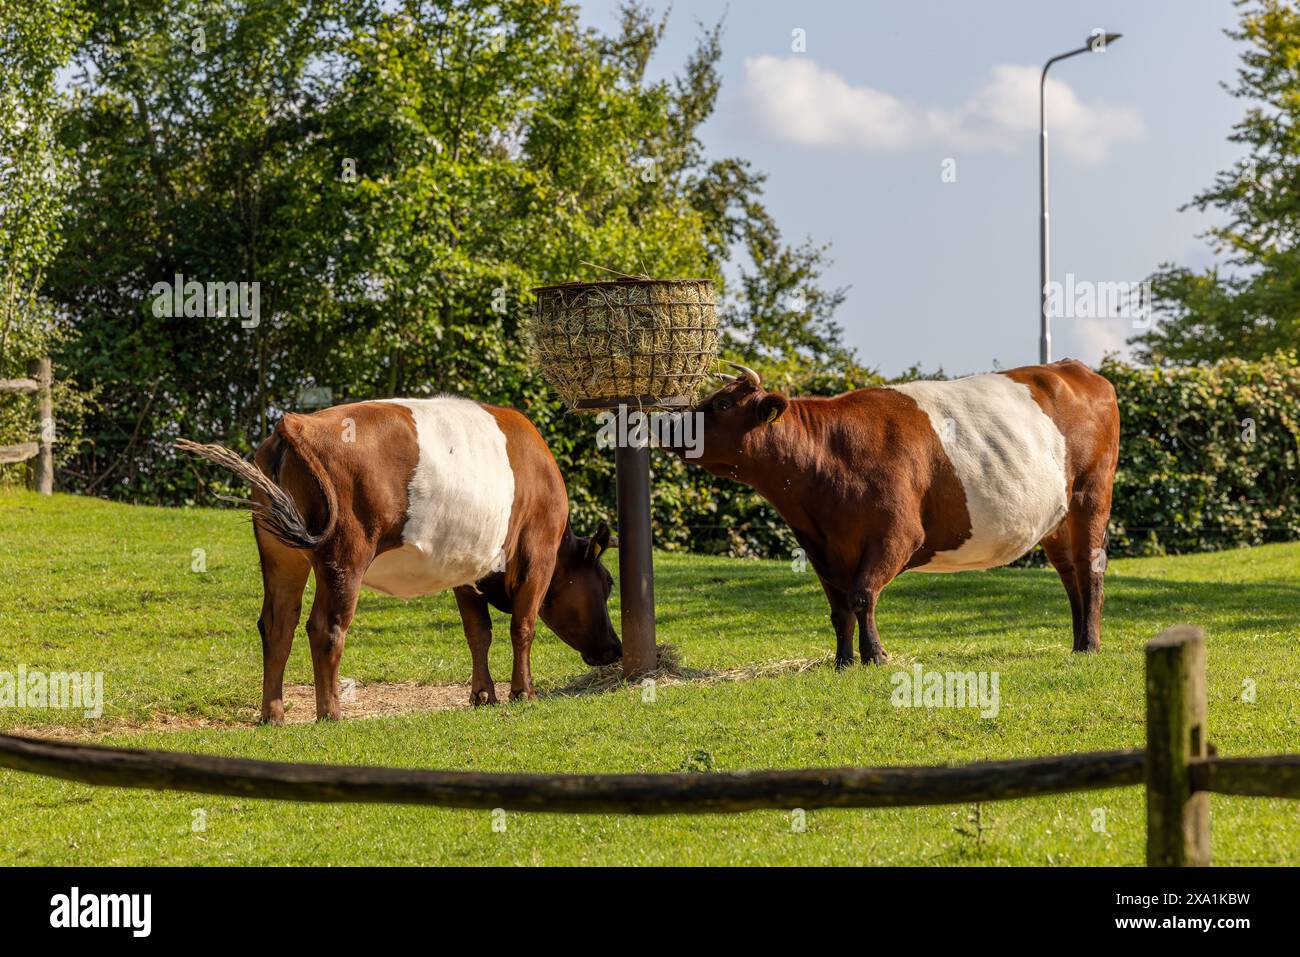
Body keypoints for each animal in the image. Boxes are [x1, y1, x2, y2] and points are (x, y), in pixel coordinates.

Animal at [178, 396, 622, 722]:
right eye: (608, 583)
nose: (615, 648)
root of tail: (297, 424)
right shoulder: (537, 554)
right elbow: (523, 627)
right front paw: (523, 692)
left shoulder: (466, 567)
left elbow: (478, 632)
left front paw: (483, 695)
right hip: (345, 554)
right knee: (325, 628)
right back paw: (330, 713)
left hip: (282, 553)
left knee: (277, 624)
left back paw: (273, 715)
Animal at [676, 359, 1120, 666]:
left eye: (723, 402)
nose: (670, 427)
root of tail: (1075, 369)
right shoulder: (819, 548)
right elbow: (839, 610)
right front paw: (843, 662)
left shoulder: (897, 535)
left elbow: (861, 596)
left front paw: (875, 656)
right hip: (1056, 518)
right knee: (1069, 574)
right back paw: (1078, 643)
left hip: (1090, 495)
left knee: (1090, 568)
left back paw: (1090, 645)